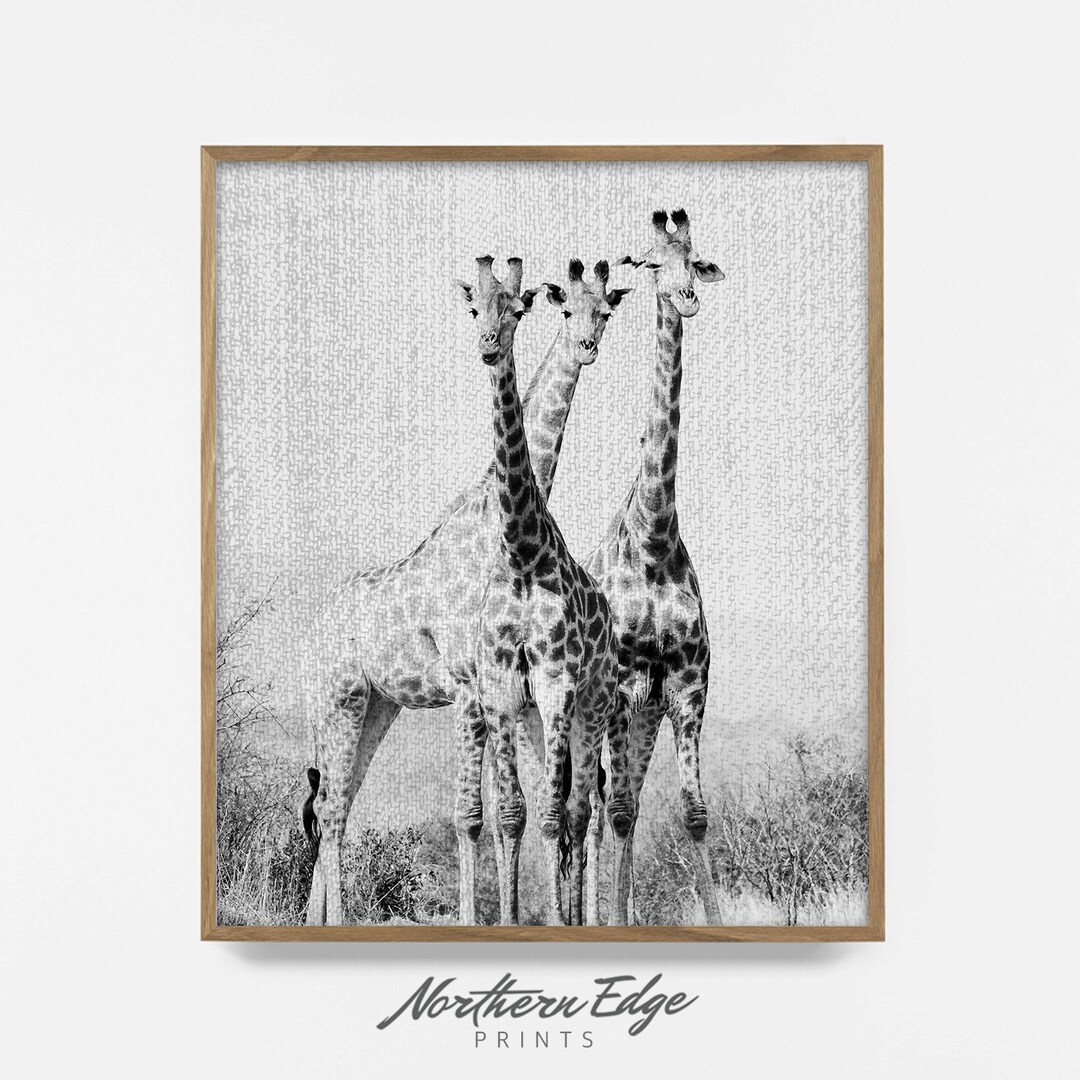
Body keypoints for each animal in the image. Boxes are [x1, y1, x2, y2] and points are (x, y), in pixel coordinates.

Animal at [301, 256, 629, 926]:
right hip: (337, 697)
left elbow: (507, 811)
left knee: (336, 805)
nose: (586, 348)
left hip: (377, 704)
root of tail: (312, 626)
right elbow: (474, 815)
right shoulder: (470, 684)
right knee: (329, 809)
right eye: (475, 308)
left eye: (604, 310)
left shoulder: (494, 690)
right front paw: (478, 918)